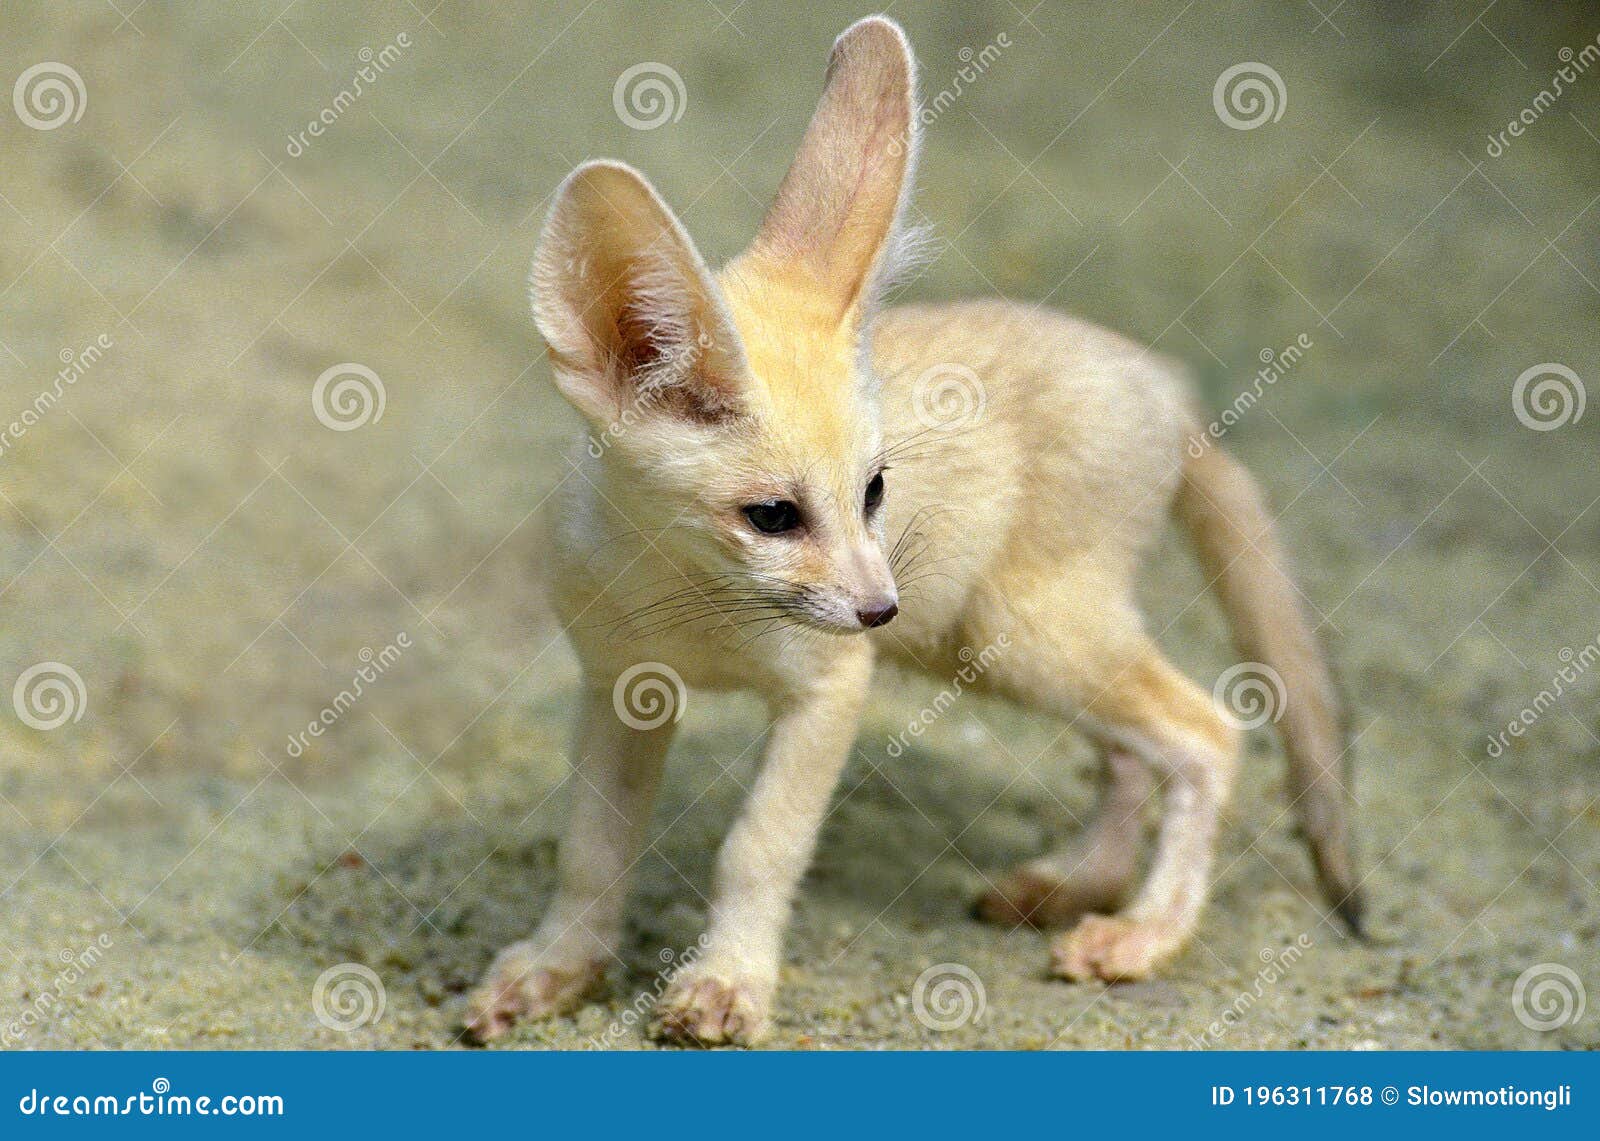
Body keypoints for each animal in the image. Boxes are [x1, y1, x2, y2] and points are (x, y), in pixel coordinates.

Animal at [467, 15, 1359, 1046]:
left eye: (874, 490)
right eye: (772, 515)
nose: (878, 609)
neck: (688, 604)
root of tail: (1167, 381)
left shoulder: (831, 689)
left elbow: (757, 847)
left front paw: (729, 981)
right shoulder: (621, 684)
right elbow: (591, 848)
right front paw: (559, 965)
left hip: (1021, 634)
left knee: (1207, 732)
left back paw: (1142, 932)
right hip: (1000, 647)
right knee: (1135, 755)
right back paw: (1074, 884)